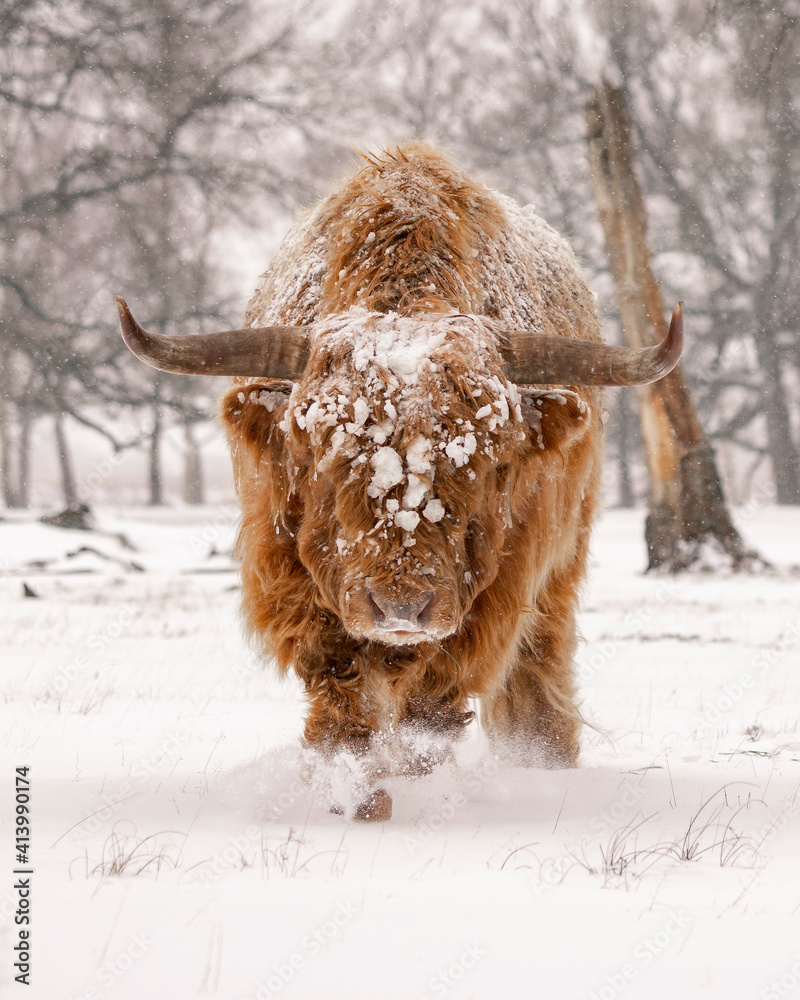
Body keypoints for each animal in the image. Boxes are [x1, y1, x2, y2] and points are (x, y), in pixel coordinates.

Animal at [117, 143, 681, 821]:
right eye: (325, 452)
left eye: (483, 455)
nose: (402, 606)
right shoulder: (296, 581)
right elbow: (345, 701)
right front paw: (353, 794)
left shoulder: (492, 595)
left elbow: (430, 707)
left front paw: (413, 787)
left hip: (558, 568)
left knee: (536, 667)